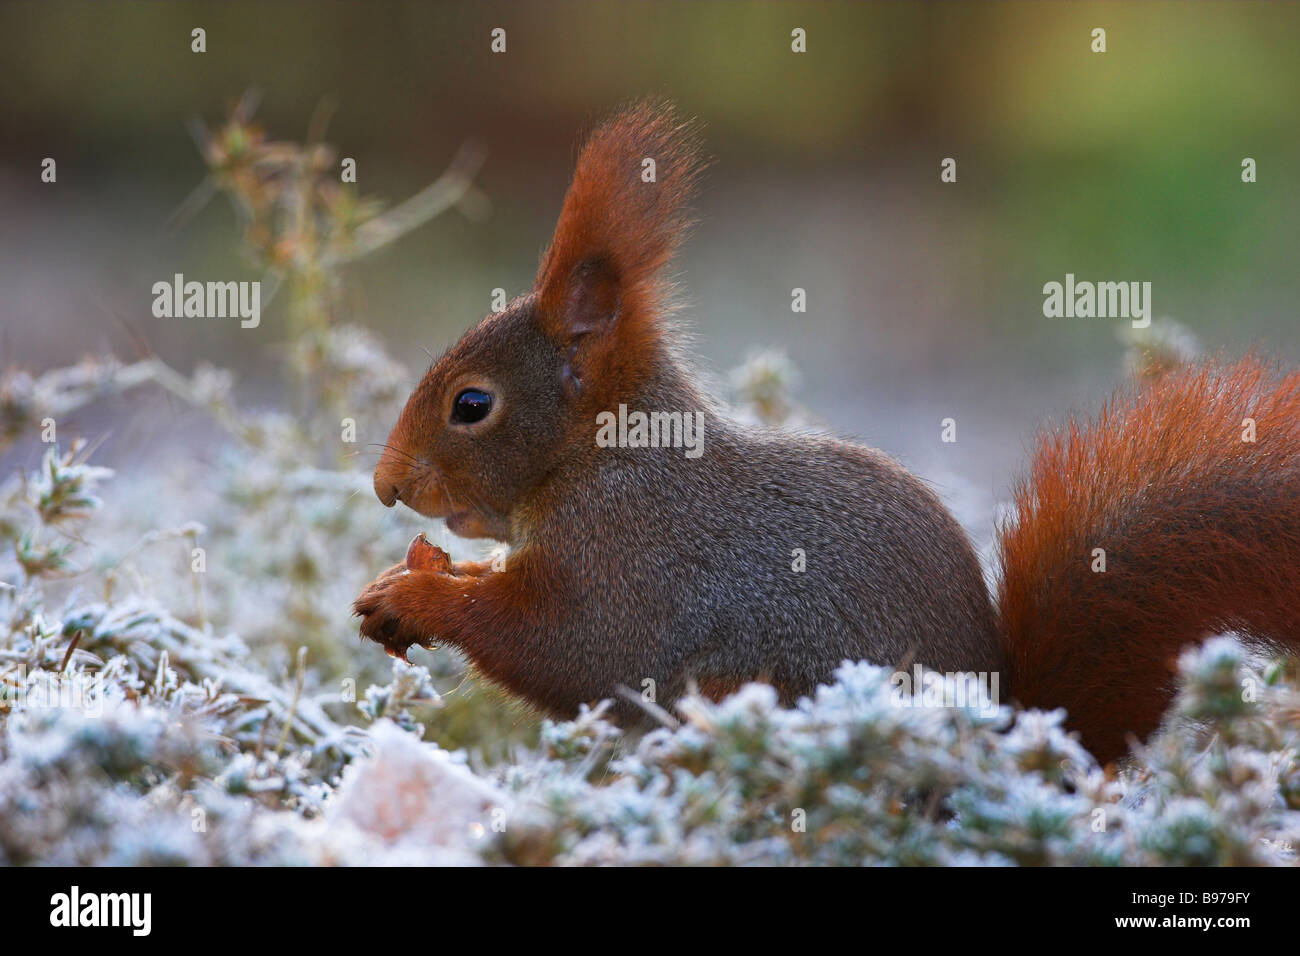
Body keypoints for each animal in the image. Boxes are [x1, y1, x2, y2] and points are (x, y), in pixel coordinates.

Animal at [355, 100, 1300, 764]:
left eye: (471, 405)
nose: (385, 485)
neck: (600, 453)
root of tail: (1008, 738)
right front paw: (420, 571)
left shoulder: (633, 555)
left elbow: (574, 649)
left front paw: (419, 597)